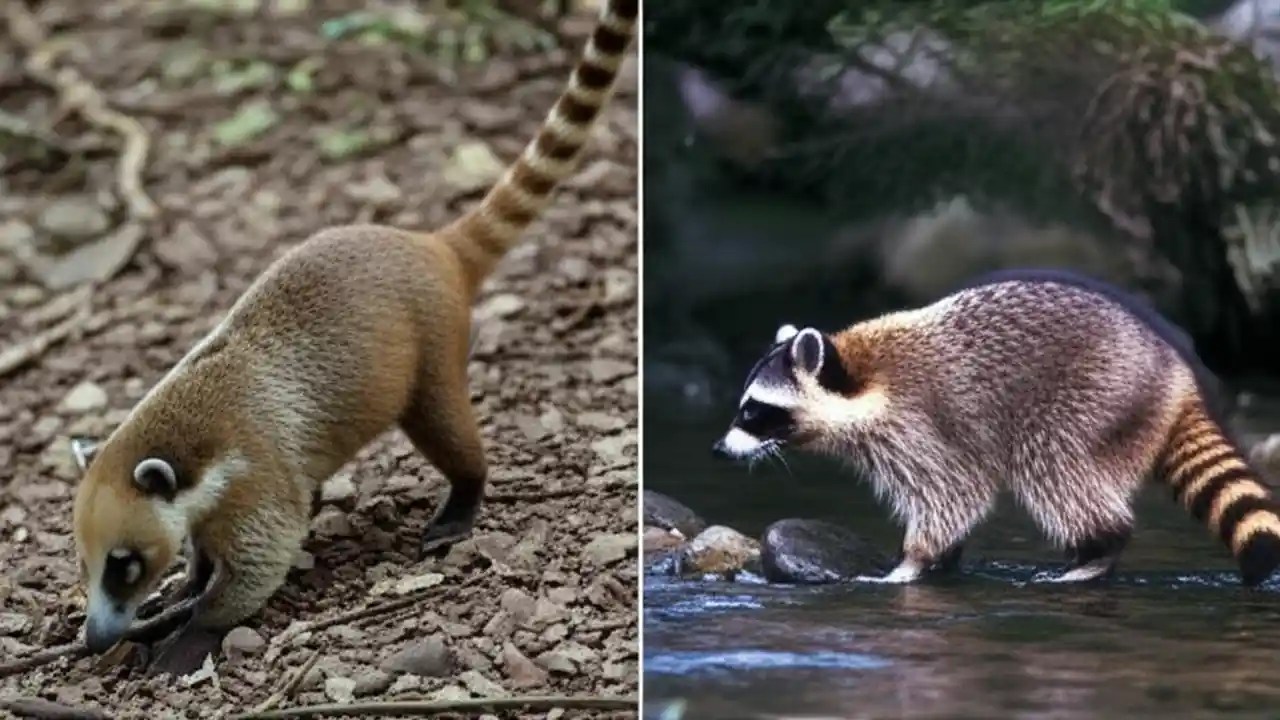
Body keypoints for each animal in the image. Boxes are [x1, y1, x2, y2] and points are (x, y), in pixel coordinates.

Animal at [712, 269, 1280, 586]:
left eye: (754, 411)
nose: (718, 449)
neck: (861, 375)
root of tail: (1177, 375)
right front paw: (937, 560)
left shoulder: (922, 425)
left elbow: (953, 492)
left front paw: (912, 561)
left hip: (1092, 398)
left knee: (1053, 465)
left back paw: (1100, 547)